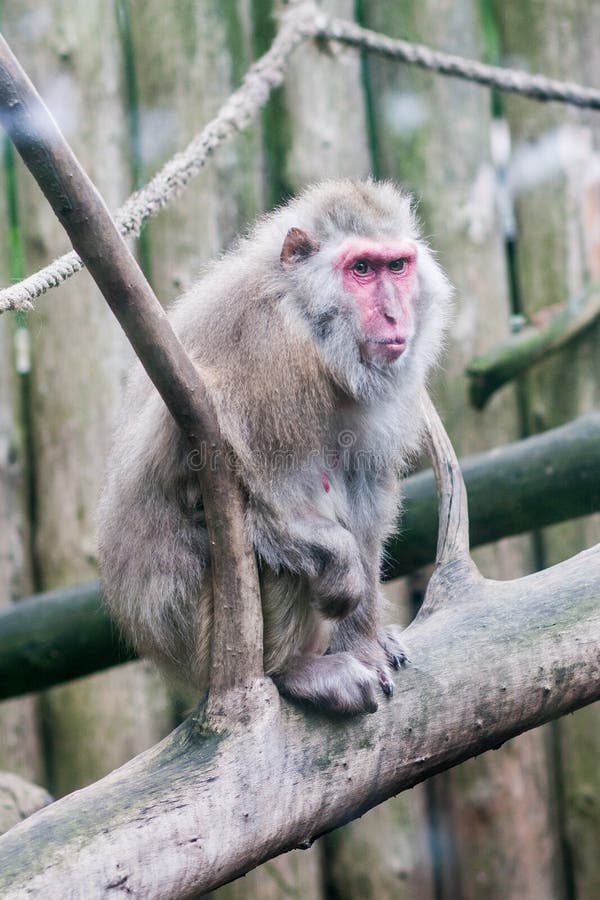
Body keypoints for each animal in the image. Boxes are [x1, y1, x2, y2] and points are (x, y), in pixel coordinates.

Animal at [97, 179, 452, 716]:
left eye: (397, 266)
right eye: (361, 269)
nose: (394, 314)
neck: (309, 321)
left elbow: (365, 500)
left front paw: (364, 641)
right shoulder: (269, 357)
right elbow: (266, 496)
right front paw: (341, 570)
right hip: (195, 633)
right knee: (266, 544)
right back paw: (293, 672)